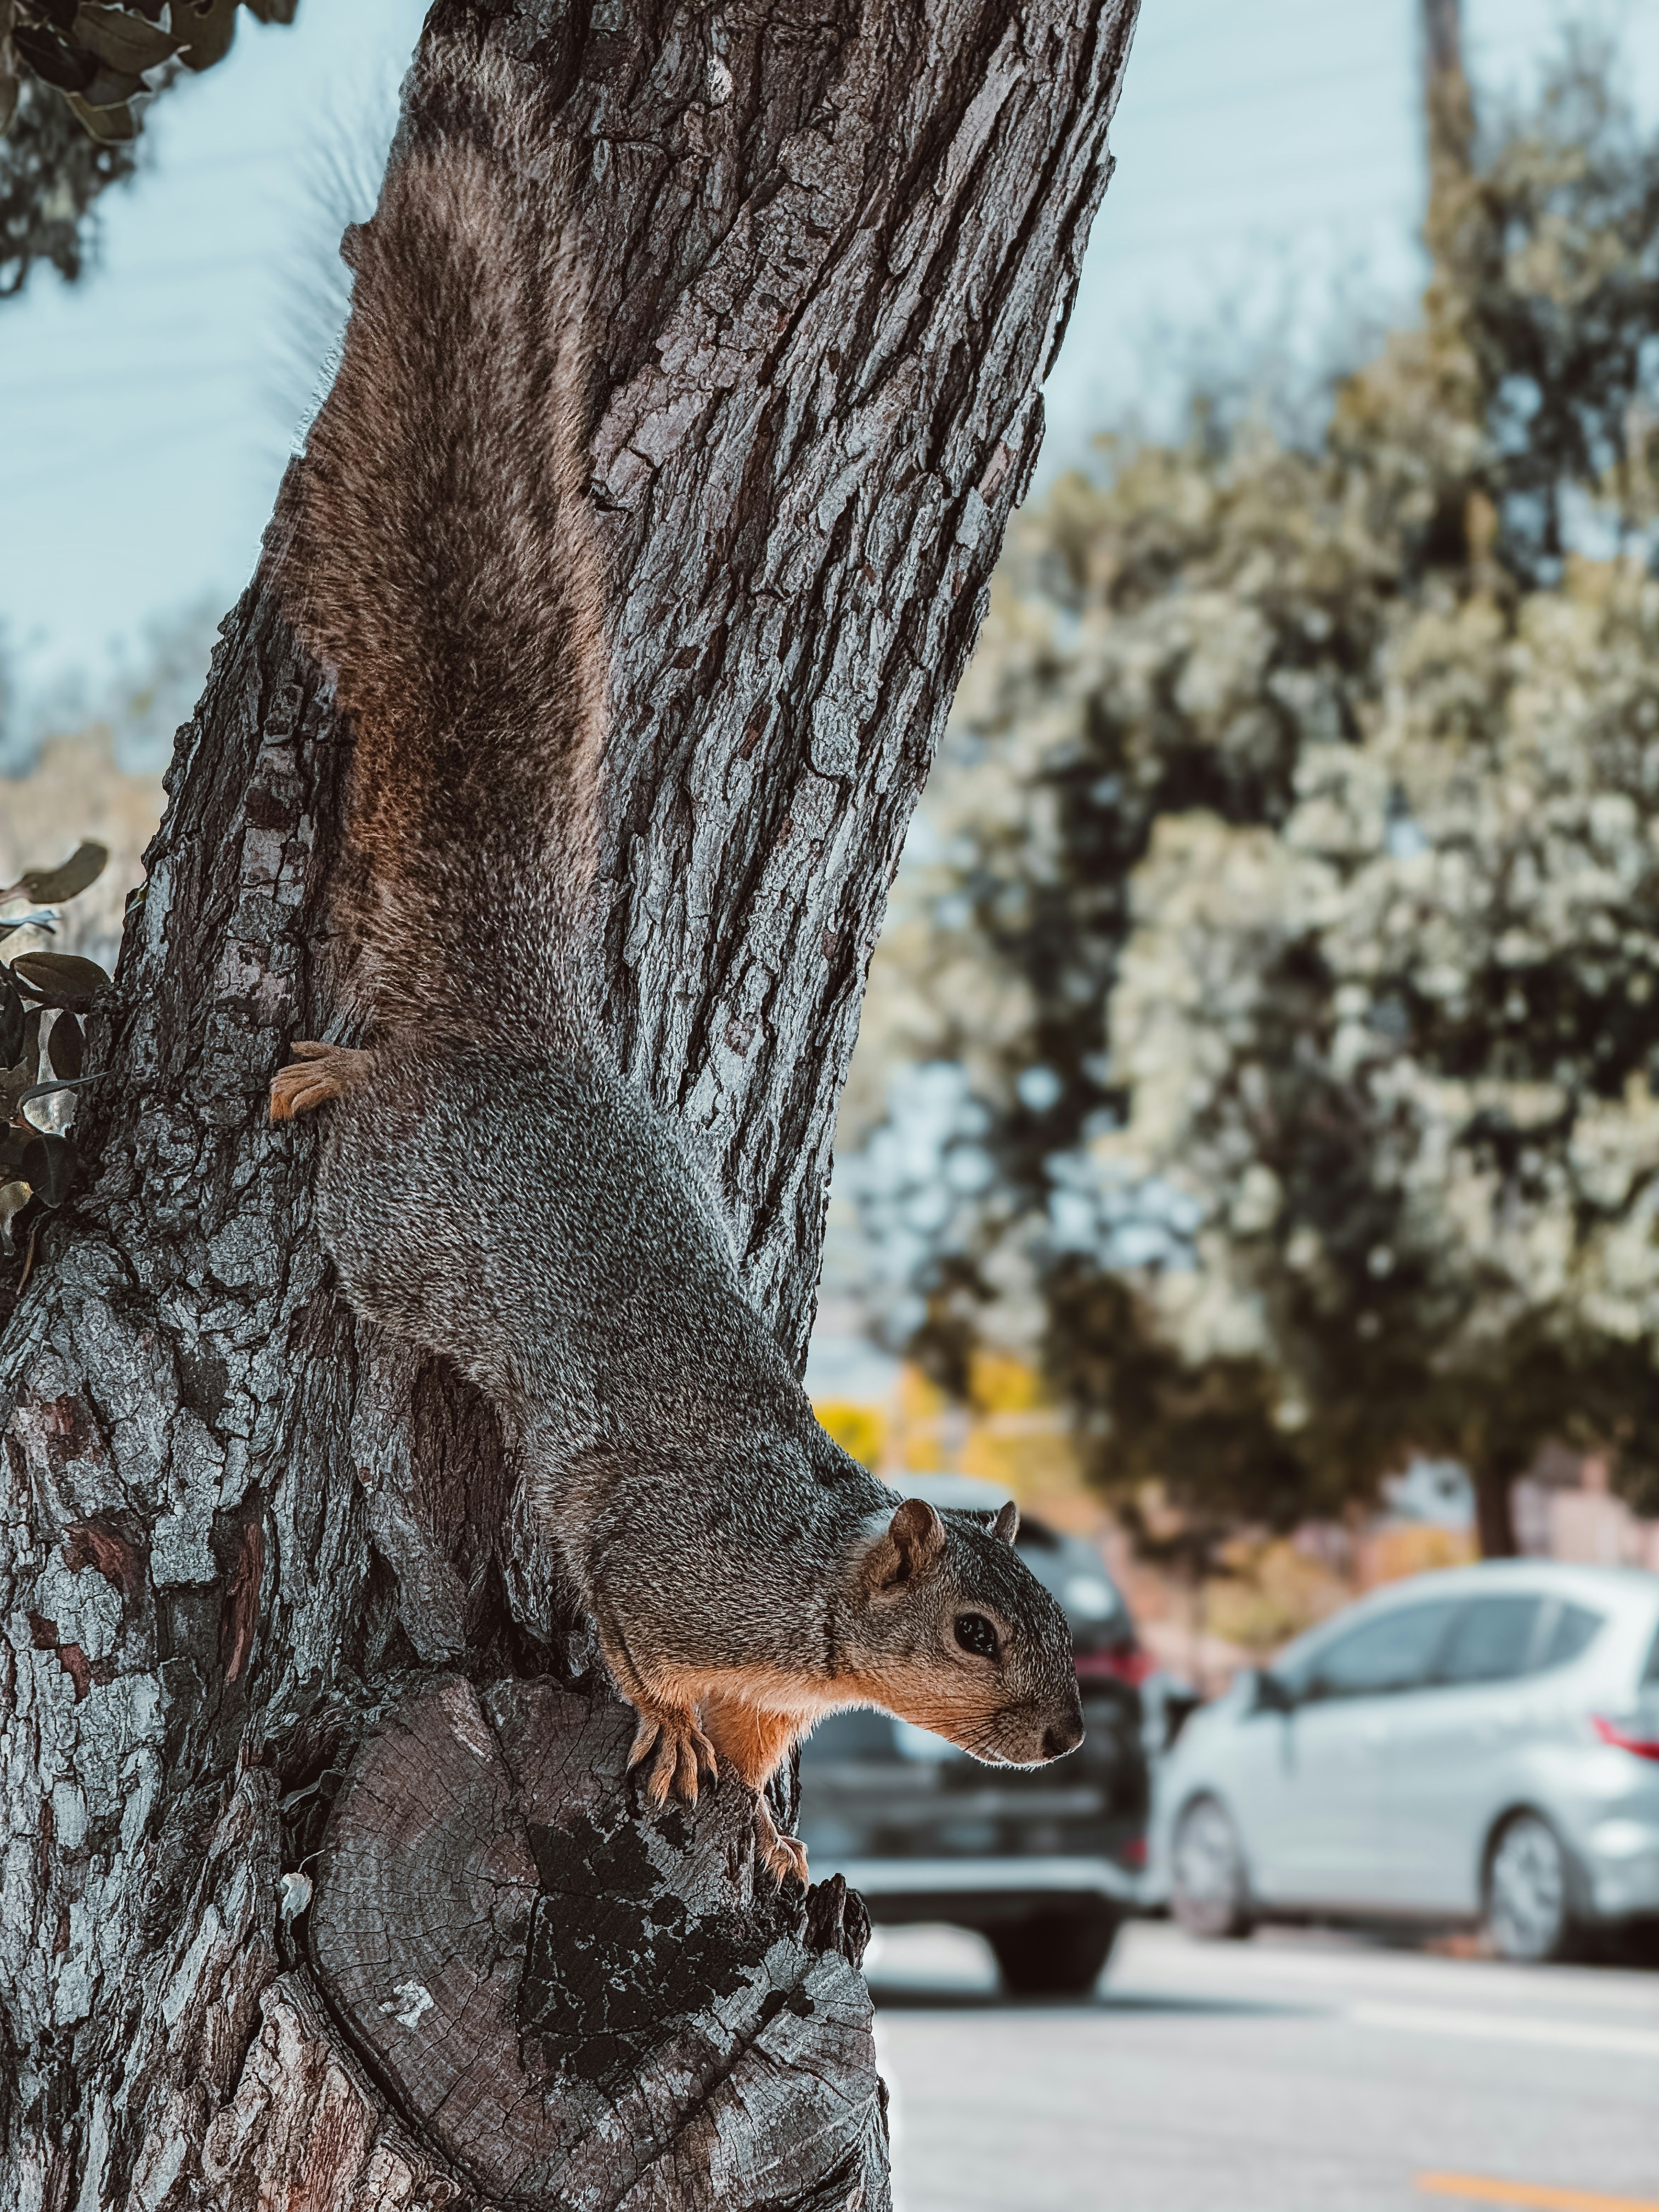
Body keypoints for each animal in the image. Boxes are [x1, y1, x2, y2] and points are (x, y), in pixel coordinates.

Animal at [266, 38, 1083, 1885]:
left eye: (1069, 1622)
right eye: (977, 1633)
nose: (1072, 1733)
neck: (811, 1605)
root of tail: (523, 1043)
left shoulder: (783, 1692)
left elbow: (764, 1758)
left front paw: (771, 1837)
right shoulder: (652, 1557)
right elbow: (633, 1637)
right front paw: (662, 1731)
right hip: (400, 1232)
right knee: (372, 1141)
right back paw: (331, 1067)